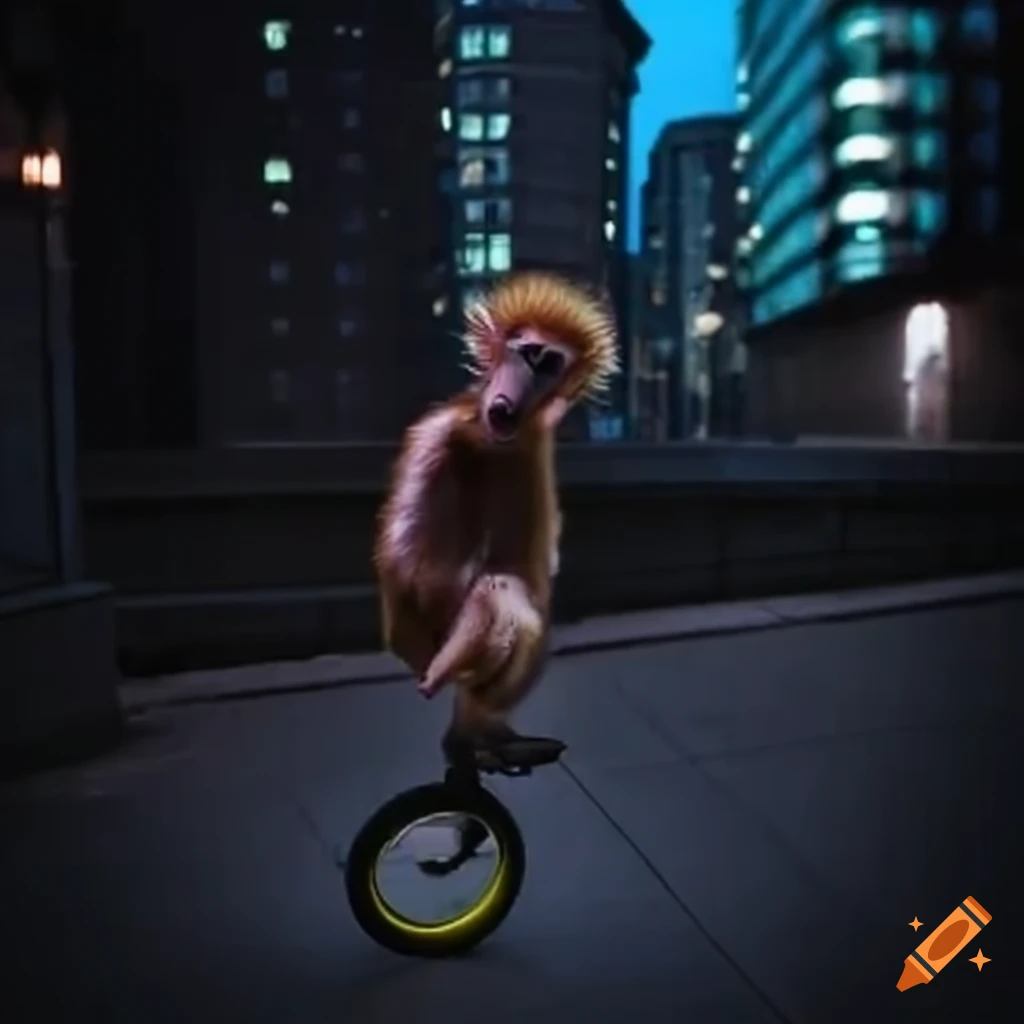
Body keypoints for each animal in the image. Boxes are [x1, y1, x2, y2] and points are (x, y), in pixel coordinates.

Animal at [374, 271, 619, 771]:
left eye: (549, 364)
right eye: (525, 354)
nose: (511, 399)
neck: (487, 437)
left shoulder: (532, 448)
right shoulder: (436, 437)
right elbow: (408, 565)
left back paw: (476, 734)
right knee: (498, 595)